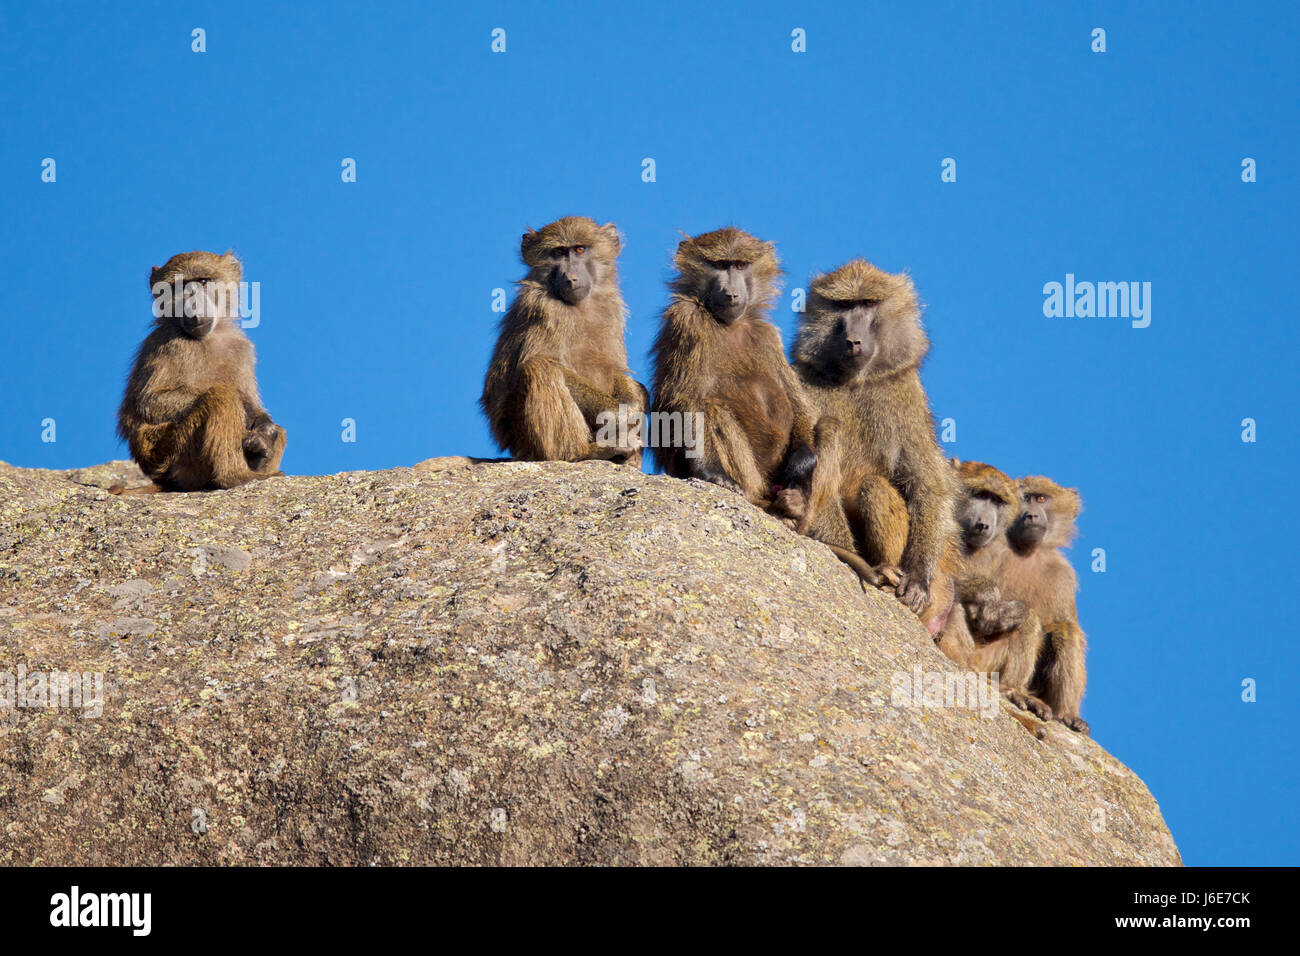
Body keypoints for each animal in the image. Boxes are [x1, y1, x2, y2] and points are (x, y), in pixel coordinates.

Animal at [114, 251, 285, 493]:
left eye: (203, 281)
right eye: (179, 286)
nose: (192, 303)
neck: (209, 337)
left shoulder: (242, 348)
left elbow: (257, 409)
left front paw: (264, 429)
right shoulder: (170, 344)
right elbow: (148, 402)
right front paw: (246, 409)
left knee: (280, 430)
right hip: (173, 450)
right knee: (221, 397)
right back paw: (236, 476)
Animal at [480, 216, 647, 466]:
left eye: (579, 249)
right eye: (558, 252)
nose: (570, 278)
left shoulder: (612, 309)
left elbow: (618, 372)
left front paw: (634, 401)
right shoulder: (545, 309)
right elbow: (540, 362)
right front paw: (622, 412)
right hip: (526, 441)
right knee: (541, 369)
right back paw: (582, 453)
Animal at [650, 227, 821, 531]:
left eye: (740, 265)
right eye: (720, 265)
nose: (731, 294)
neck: (730, 324)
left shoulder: (768, 336)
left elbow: (800, 406)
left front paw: (802, 462)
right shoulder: (687, 320)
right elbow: (685, 399)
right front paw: (711, 473)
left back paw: (794, 505)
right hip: (752, 478)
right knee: (712, 408)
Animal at [950, 460, 1053, 721]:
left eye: (997, 501)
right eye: (980, 495)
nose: (983, 524)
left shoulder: (1004, 552)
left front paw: (1009, 611)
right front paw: (986, 593)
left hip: (989, 661)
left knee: (1029, 621)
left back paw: (1013, 690)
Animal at [1004, 475, 1090, 734]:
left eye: (1040, 499)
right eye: (1023, 498)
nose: (1030, 515)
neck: (1029, 552)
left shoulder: (1063, 576)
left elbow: (1065, 623)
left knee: (1065, 629)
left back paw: (1067, 715)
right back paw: (1015, 691)